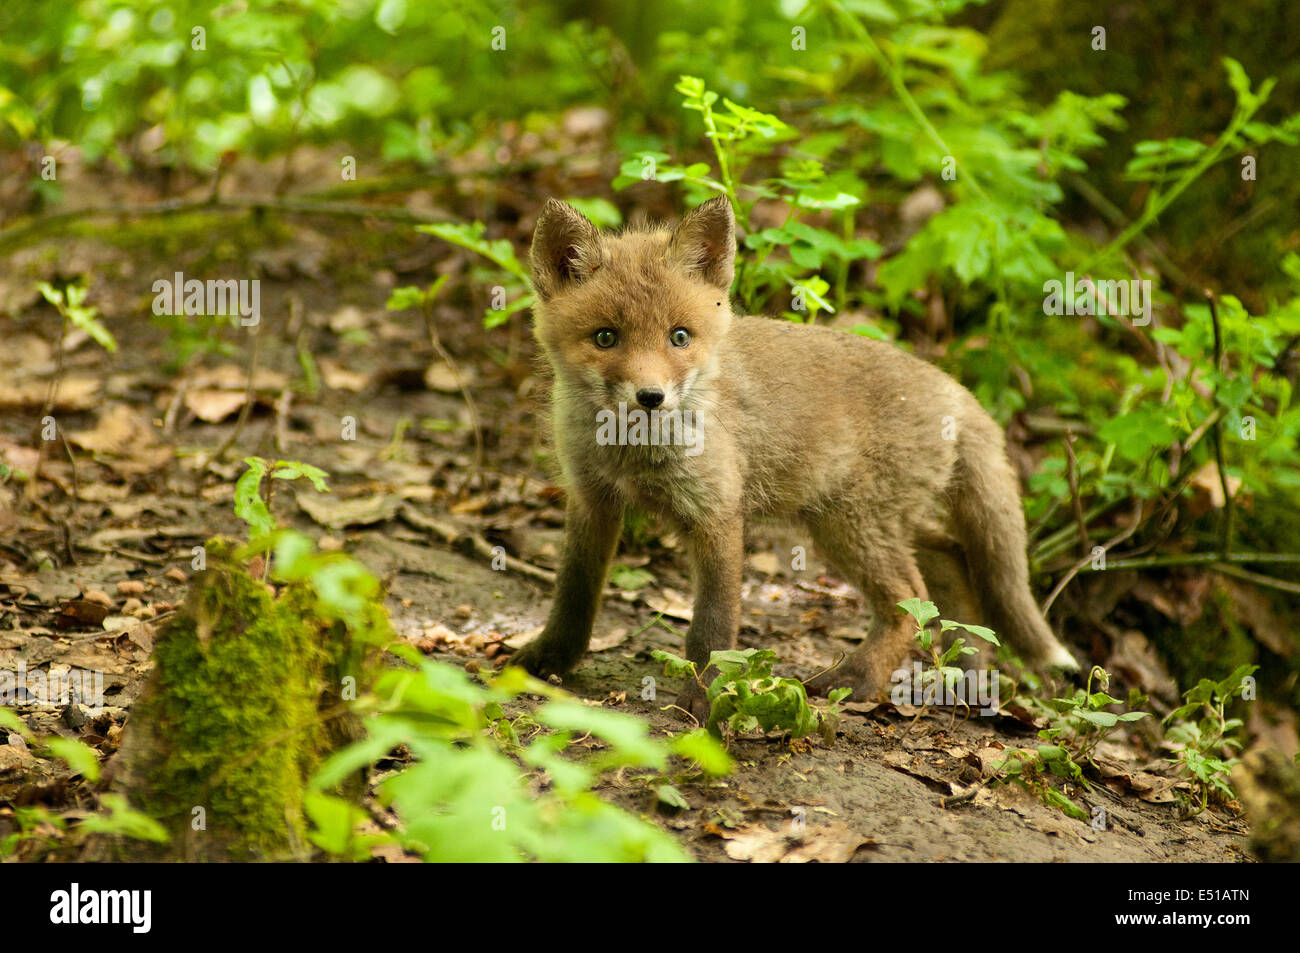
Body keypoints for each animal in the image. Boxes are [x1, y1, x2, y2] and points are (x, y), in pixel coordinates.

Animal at [509, 196, 1079, 720]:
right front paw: (549, 660)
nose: (651, 397)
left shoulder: (717, 511)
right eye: (606, 337)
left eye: (679, 337)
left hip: (849, 524)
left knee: (908, 602)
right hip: (881, 521)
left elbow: (712, 627)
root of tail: (955, 389)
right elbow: (573, 595)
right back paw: (968, 675)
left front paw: (703, 700)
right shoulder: (592, 499)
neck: (630, 452)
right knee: (952, 569)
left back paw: (857, 681)